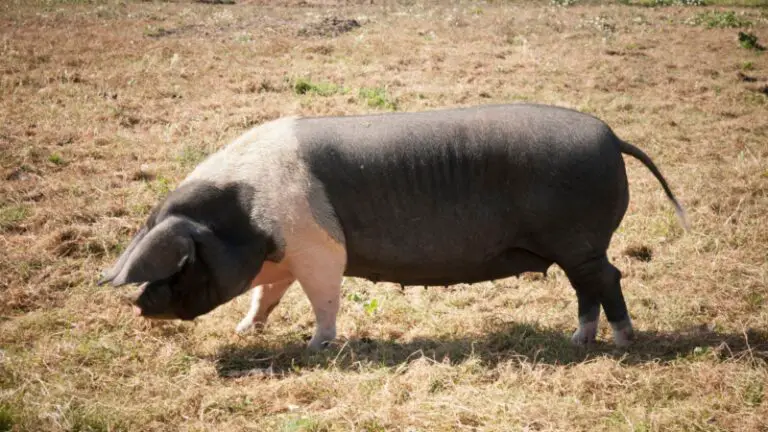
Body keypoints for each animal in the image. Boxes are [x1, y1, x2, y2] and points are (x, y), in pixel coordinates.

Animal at [98, 103, 687, 350]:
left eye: (181, 263)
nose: (138, 305)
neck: (246, 218)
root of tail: (612, 138)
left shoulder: (319, 249)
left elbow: (324, 299)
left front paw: (317, 347)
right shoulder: (283, 258)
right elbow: (264, 297)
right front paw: (245, 331)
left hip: (579, 239)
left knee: (608, 278)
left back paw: (621, 343)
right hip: (574, 247)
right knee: (589, 287)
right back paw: (577, 340)